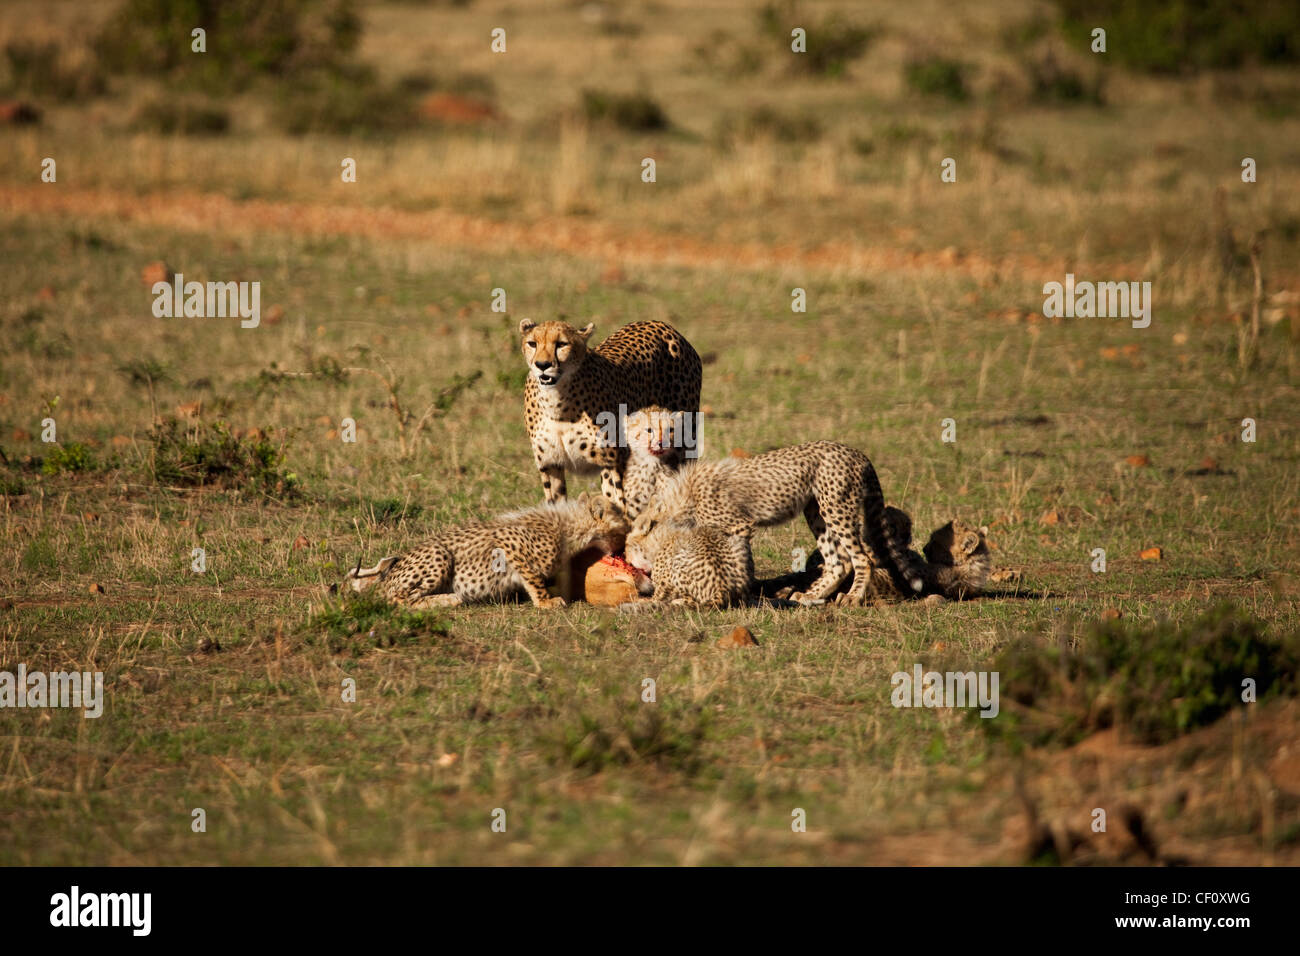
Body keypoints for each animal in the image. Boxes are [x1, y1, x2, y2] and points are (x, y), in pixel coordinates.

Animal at [345, 495, 628, 609]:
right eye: (622, 529)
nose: (622, 550)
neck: (569, 526)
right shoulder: (510, 544)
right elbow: (534, 579)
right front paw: (546, 602)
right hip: (439, 554)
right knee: (397, 600)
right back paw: (450, 598)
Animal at [519, 318, 701, 514]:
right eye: (532, 343)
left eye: (562, 344)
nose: (542, 365)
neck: (557, 403)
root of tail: (661, 325)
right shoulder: (550, 465)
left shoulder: (614, 462)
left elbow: (621, 504)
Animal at [622, 518, 754, 608]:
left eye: (626, 546)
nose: (625, 558)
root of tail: (723, 588)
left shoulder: (663, 585)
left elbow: (655, 598)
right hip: (740, 542)